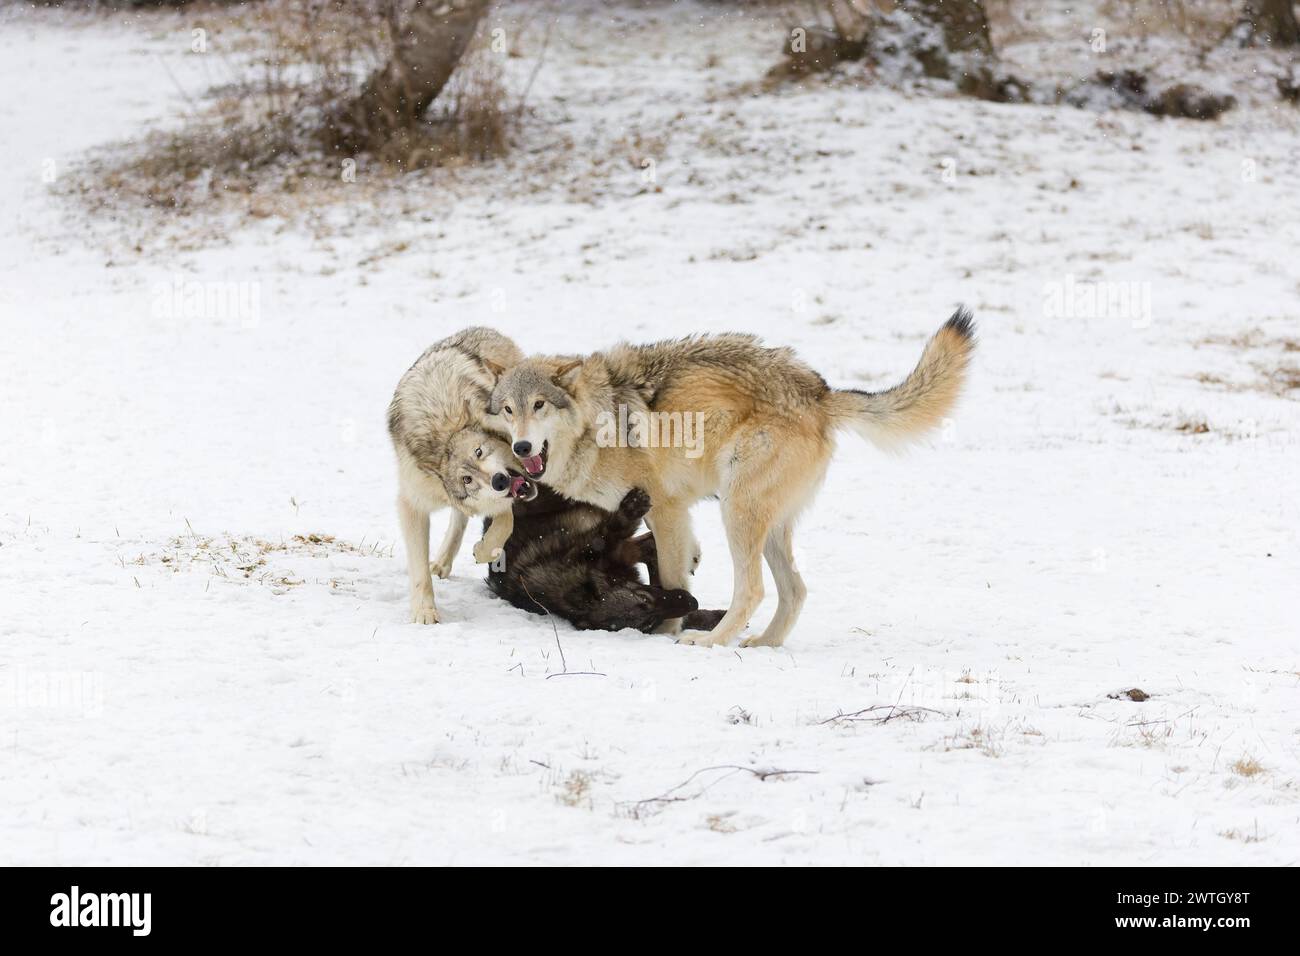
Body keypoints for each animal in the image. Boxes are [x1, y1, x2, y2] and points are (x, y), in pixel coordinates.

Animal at [387, 328, 538, 624]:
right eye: (467, 480)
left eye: (479, 451)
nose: (499, 481)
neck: (444, 437)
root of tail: (484, 329)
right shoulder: (413, 504)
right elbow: (419, 569)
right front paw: (425, 612)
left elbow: (505, 521)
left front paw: (485, 549)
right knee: (460, 518)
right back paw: (441, 562)